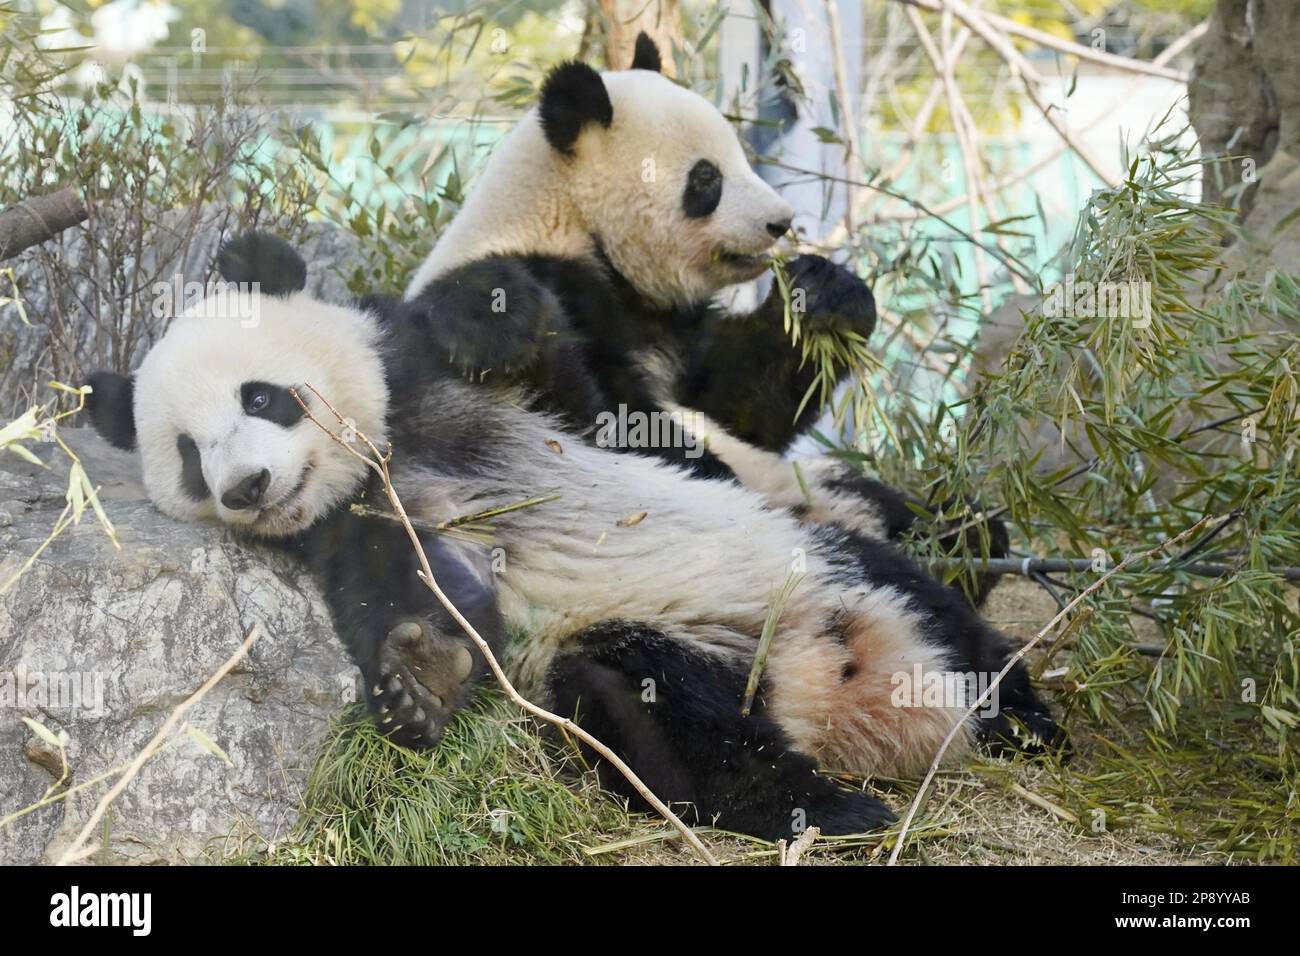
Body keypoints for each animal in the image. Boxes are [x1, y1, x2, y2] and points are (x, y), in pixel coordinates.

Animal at [84, 232, 1062, 841]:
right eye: (188, 454)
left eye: (261, 397)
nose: (246, 488)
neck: (391, 453)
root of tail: (837, 690)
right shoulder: (356, 525)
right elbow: (417, 592)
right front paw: (417, 679)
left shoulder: (469, 392)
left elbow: (603, 401)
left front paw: (487, 312)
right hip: (656, 651)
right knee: (665, 720)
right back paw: (822, 807)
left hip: (821, 561)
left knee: (941, 615)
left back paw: (1024, 726)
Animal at [398, 32, 1008, 601]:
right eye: (707, 178)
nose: (781, 222)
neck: (570, 223)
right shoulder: (551, 277)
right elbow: (599, 419)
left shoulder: (673, 325)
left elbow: (737, 404)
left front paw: (826, 295)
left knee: (927, 515)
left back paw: (962, 540)